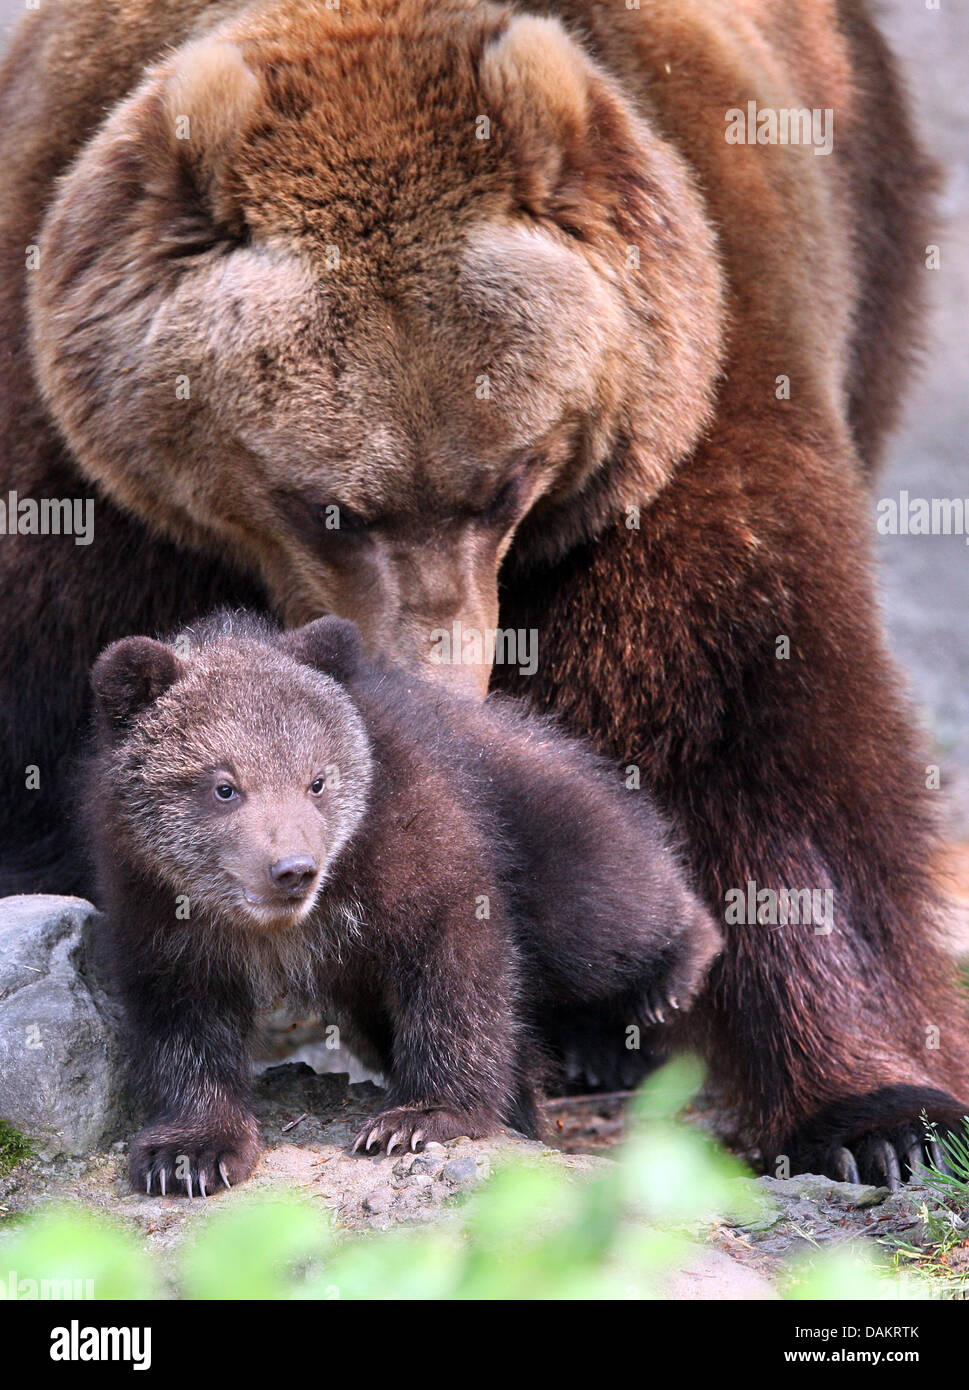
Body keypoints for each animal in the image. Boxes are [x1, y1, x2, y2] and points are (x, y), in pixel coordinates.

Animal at [86, 611, 721, 1195]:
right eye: (224, 785)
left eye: (317, 780)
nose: (294, 870)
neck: (282, 927)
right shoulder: (160, 909)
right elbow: (183, 1021)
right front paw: (189, 1152)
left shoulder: (415, 841)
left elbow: (456, 968)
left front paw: (421, 1117)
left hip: (537, 822)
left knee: (604, 913)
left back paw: (674, 971)